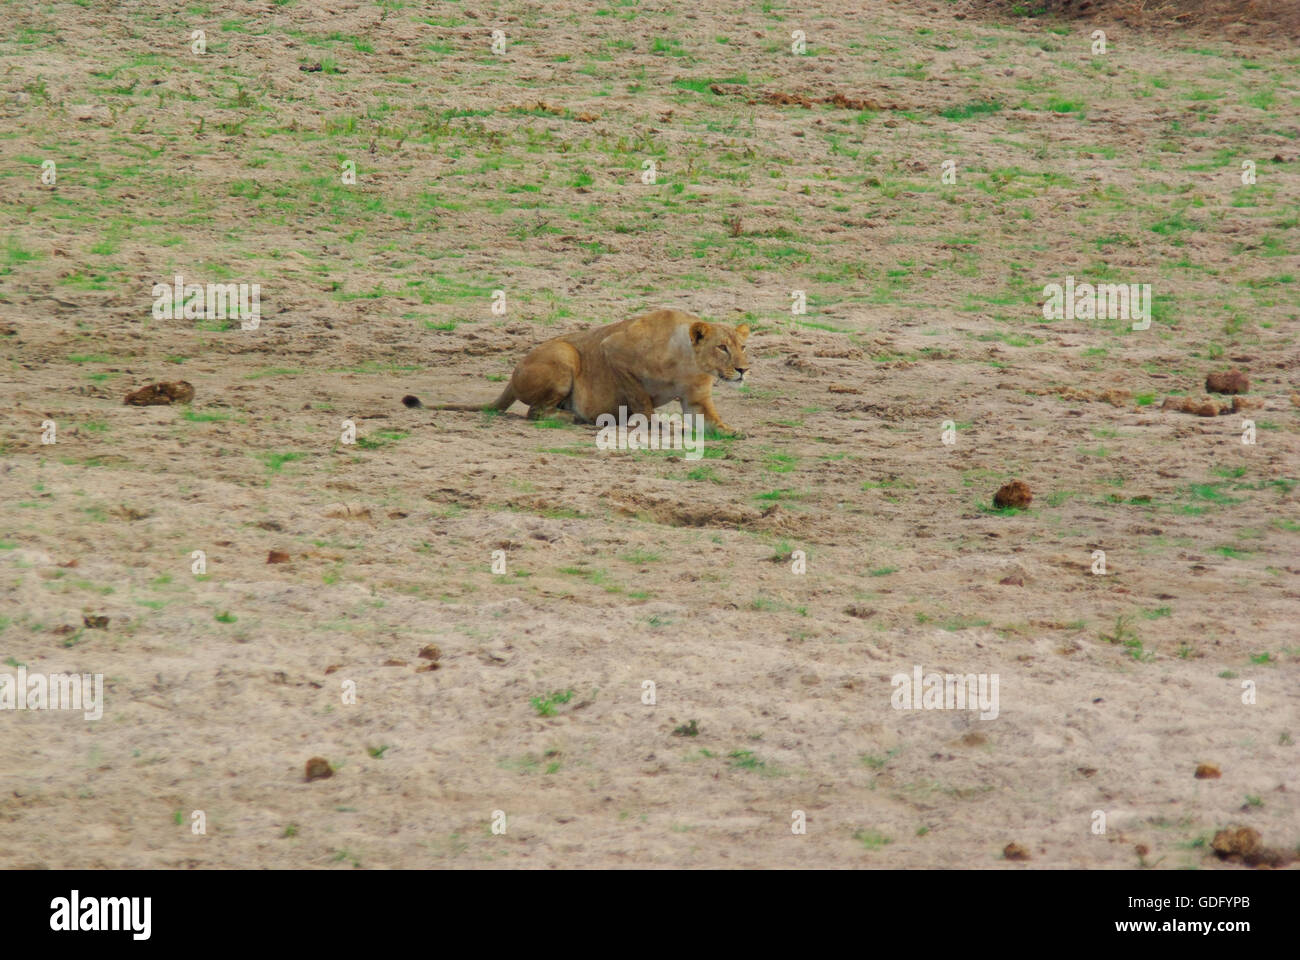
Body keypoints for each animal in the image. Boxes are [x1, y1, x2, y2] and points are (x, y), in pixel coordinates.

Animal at [403, 309, 750, 434]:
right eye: (722, 347)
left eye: (743, 346)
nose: (743, 370)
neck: (688, 364)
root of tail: (512, 376)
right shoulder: (615, 350)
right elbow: (642, 399)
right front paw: (651, 423)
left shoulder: (695, 398)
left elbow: (711, 421)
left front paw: (732, 432)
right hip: (564, 354)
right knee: (534, 412)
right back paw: (574, 418)